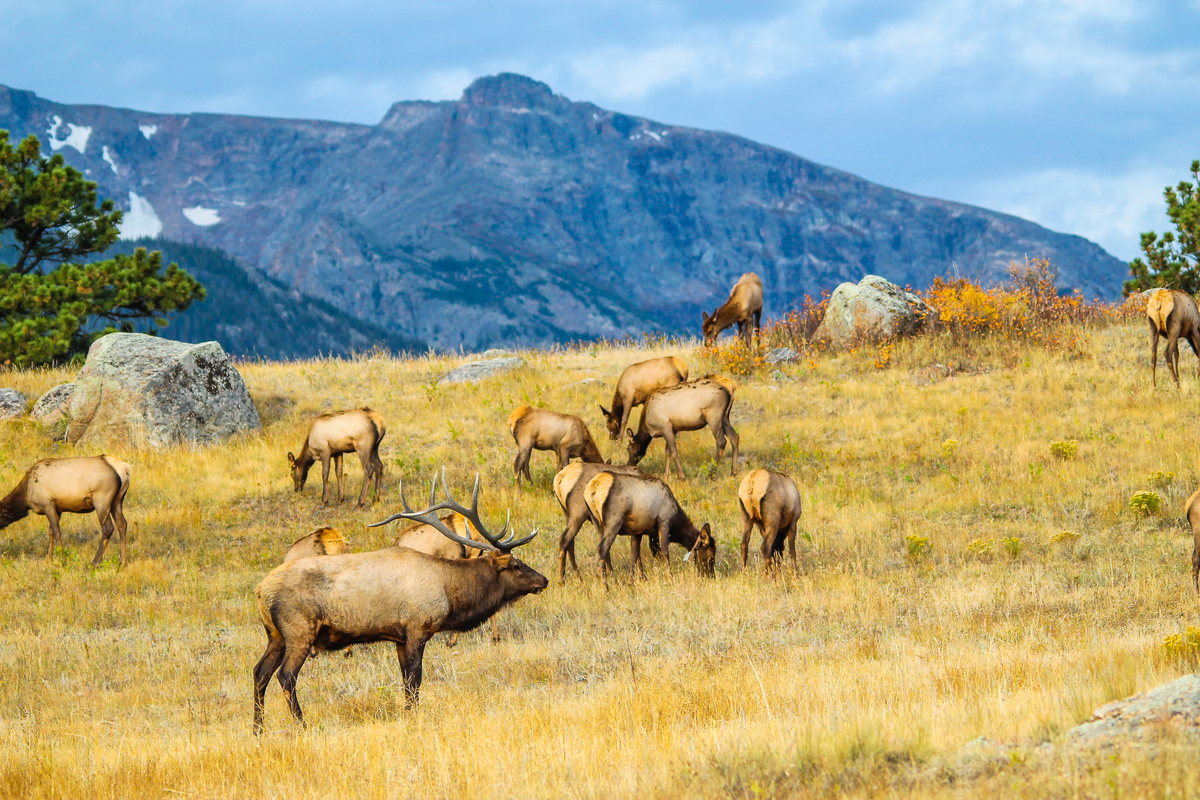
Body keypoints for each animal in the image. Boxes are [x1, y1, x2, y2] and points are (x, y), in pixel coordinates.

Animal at [0, 455, 131, 567]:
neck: (26, 494)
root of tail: (125, 468)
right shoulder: (57, 508)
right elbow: (51, 532)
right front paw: (48, 558)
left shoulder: (47, 504)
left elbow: (57, 532)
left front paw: (63, 560)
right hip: (117, 500)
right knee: (122, 524)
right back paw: (123, 562)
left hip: (102, 499)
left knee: (108, 528)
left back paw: (94, 562)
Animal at [253, 471, 547, 735]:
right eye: (516, 565)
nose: (543, 580)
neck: (449, 592)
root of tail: (260, 591)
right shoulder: (417, 628)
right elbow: (415, 678)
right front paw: (414, 716)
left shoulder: (398, 637)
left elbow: (405, 679)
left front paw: (407, 713)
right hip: (299, 630)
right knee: (286, 675)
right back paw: (301, 725)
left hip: (275, 635)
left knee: (259, 672)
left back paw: (258, 729)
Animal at [583, 470, 715, 579]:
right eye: (711, 557)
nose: (710, 576)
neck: (676, 523)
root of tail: (594, 486)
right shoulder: (664, 521)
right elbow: (665, 551)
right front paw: (670, 577)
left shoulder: (637, 531)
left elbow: (635, 554)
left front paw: (633, 581)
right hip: (614, 520)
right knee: (602, 548)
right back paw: (607, 587)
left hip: (597, 522)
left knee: (605, 550)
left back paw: (614, 581)